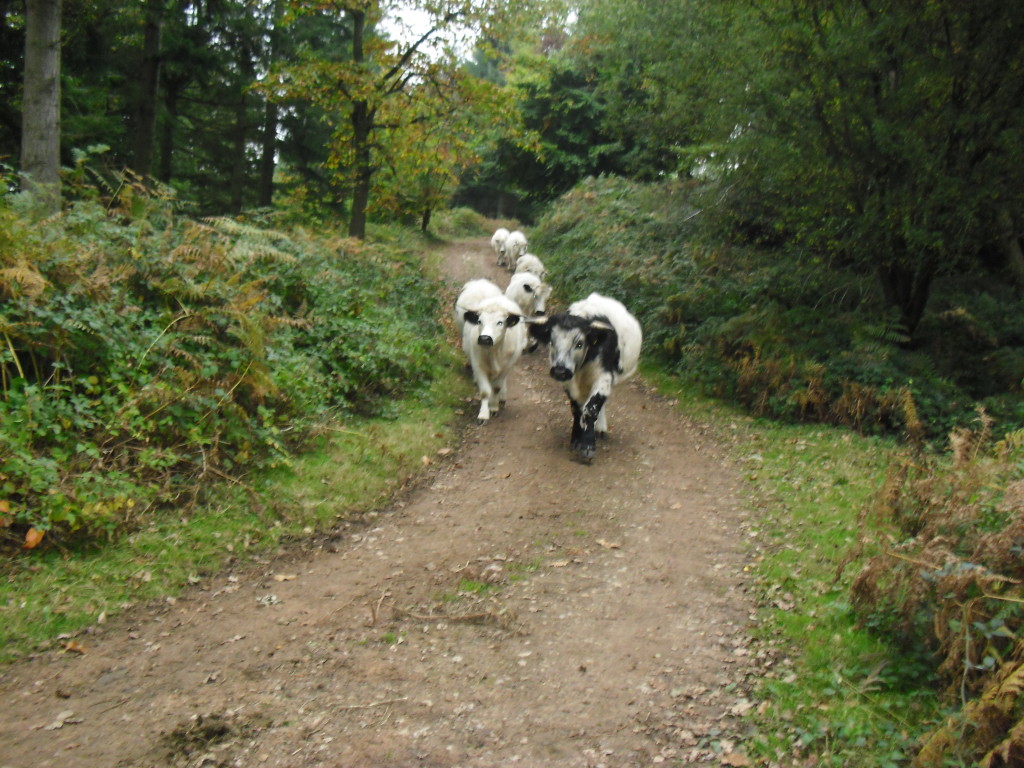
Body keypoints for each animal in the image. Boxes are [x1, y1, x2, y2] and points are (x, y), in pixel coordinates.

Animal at [527, 293, 642, 461]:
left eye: (579, 344)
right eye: (551, 342)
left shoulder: (604, 377)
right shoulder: (568, 383)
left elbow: (591, 409)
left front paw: (588, 445)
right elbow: (577, 409)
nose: (560, 370)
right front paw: (576, 438)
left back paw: (600, 428)